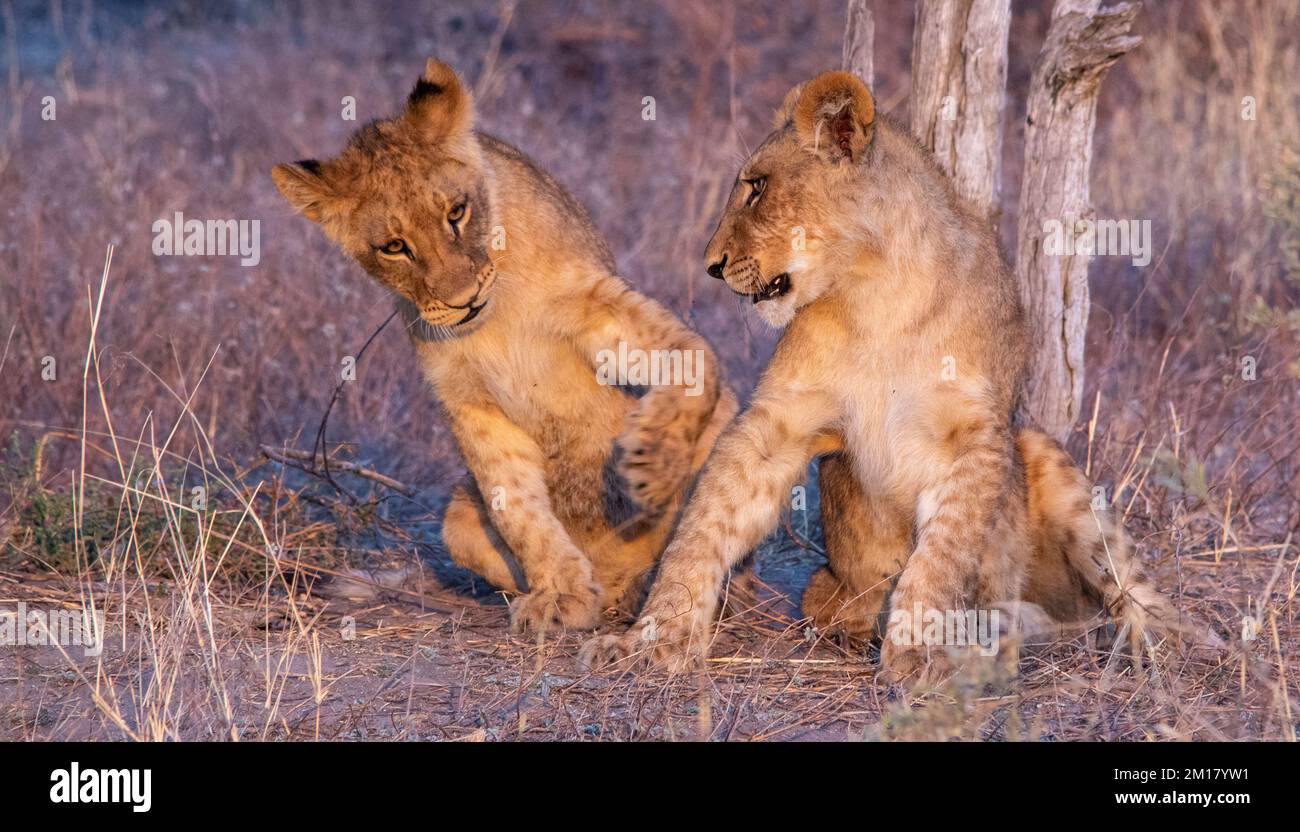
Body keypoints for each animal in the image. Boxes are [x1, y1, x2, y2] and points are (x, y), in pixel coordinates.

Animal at [271, 59, 737, 632]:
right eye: (395, 247)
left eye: (456, 212)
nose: (464, 301)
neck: (497, 315)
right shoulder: (466, 398)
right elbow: (515, 507)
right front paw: (559, 594)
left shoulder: (596, 307)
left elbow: (695, 357)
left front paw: (654, 464)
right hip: (457, 518)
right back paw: (606, 593)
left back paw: (647, 587)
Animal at [582, 70, 1211, 682]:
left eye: (757, 187)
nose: (710, 266)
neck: (877, 292)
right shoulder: (780, 420)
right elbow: (705, 523)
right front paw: (652, 639)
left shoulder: (975, 439)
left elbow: (940, 556)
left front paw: (918, 658)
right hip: (825, 585)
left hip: (1039, 454)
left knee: (1121, 581)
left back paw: (1178, 640)